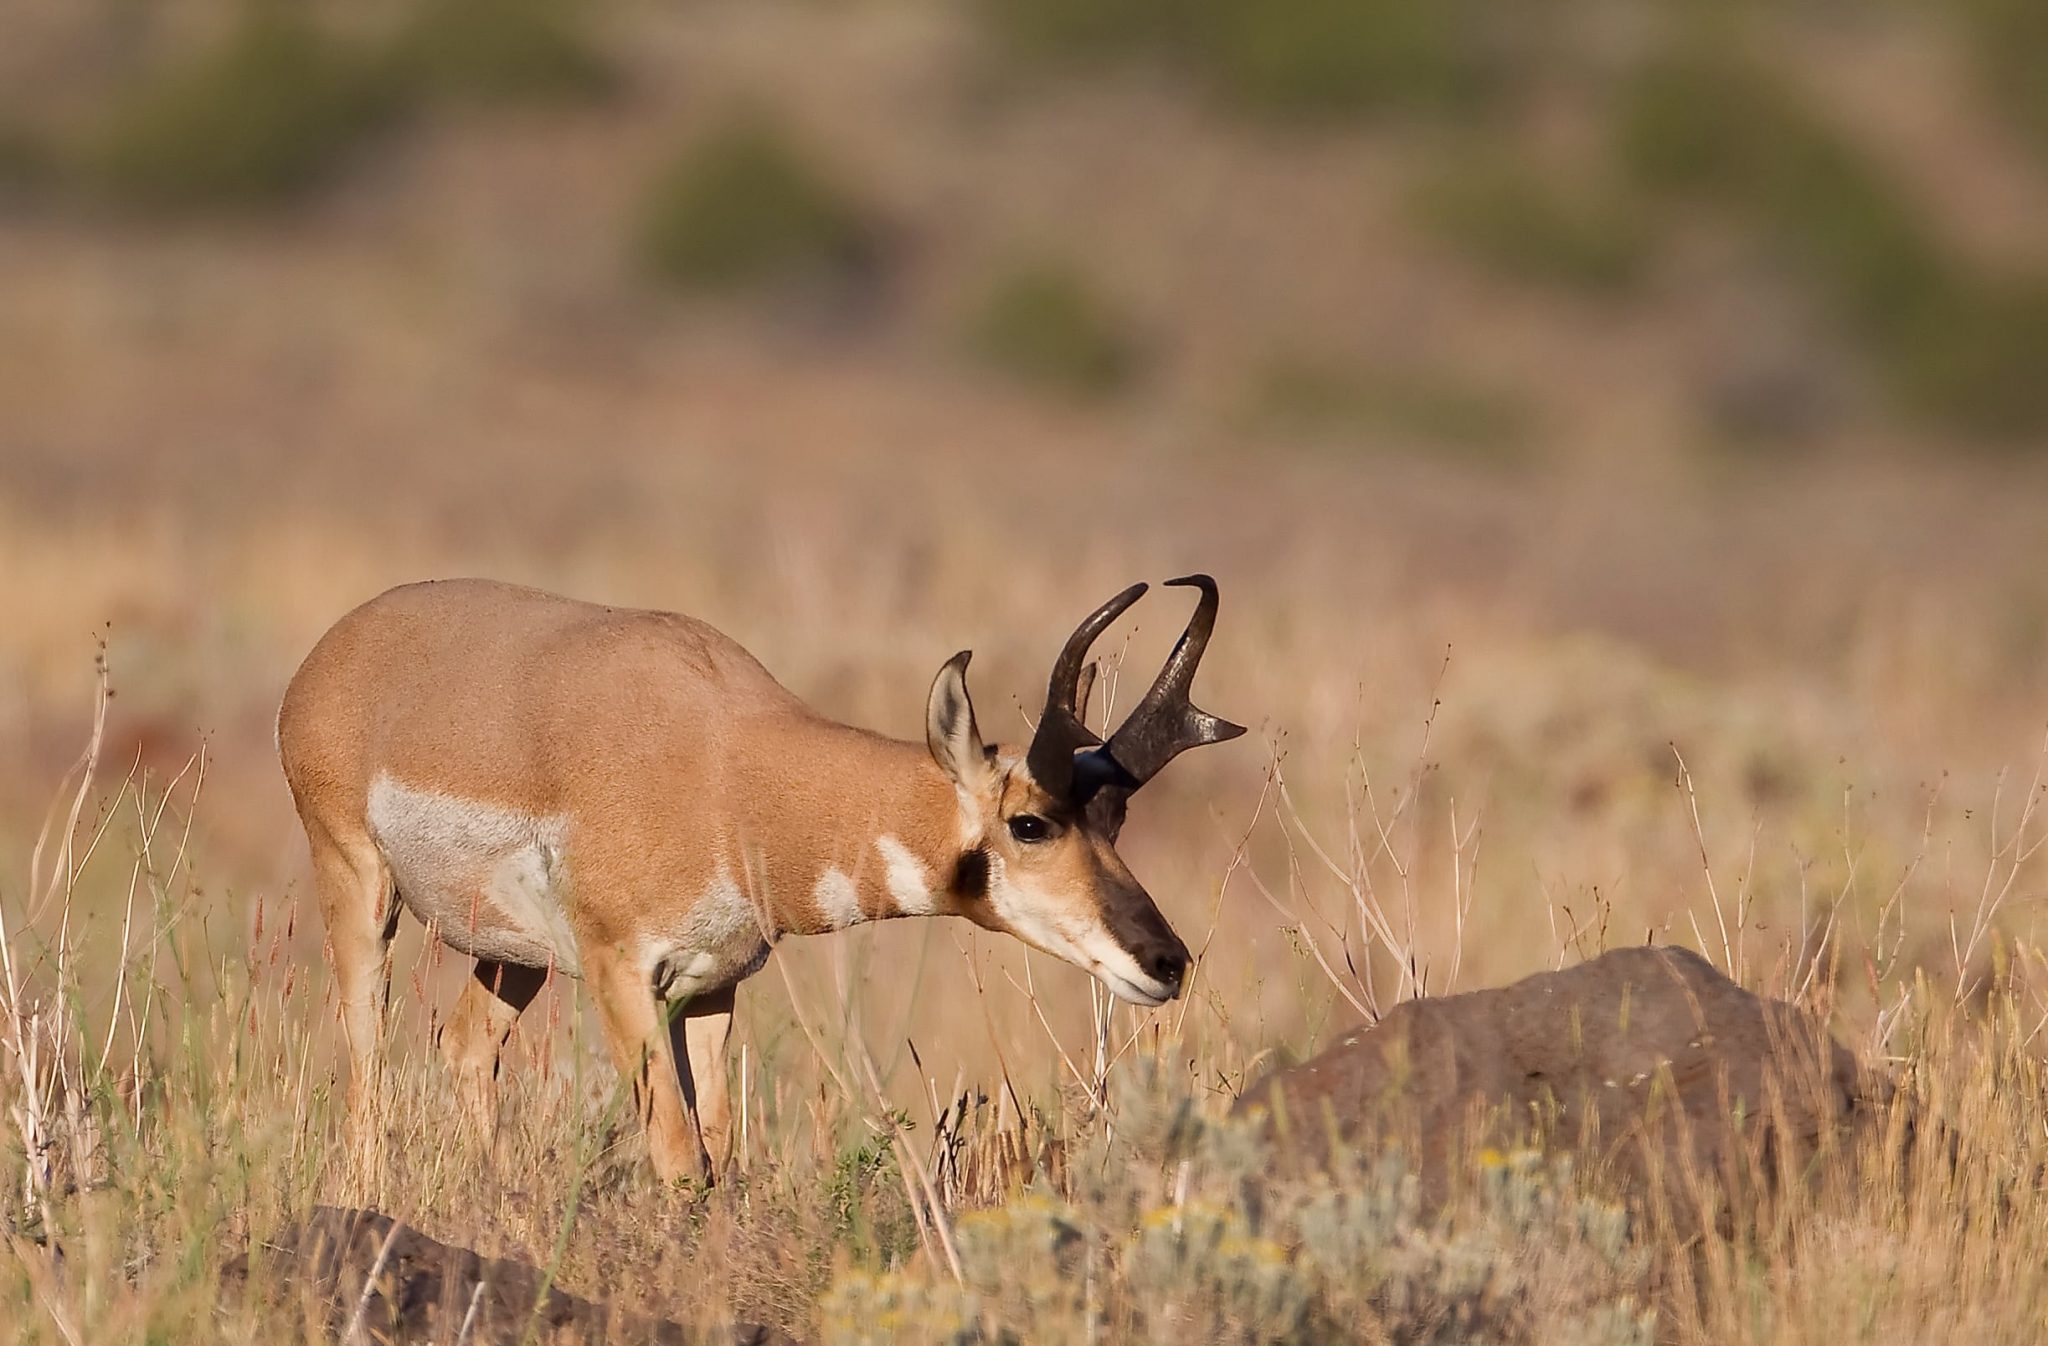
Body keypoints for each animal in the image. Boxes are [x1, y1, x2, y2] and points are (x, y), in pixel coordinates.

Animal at [276, 575, 1242, 1183]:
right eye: (1030, 823)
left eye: (1115, 817)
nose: (1167, 960)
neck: (733, 765)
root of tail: (336, 647)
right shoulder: (623, 979)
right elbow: (676, 1157)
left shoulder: (713, 988)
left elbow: (715, 1150)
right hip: (359, 892)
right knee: (367, 1058)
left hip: (513, 959)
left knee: (465, 1050)